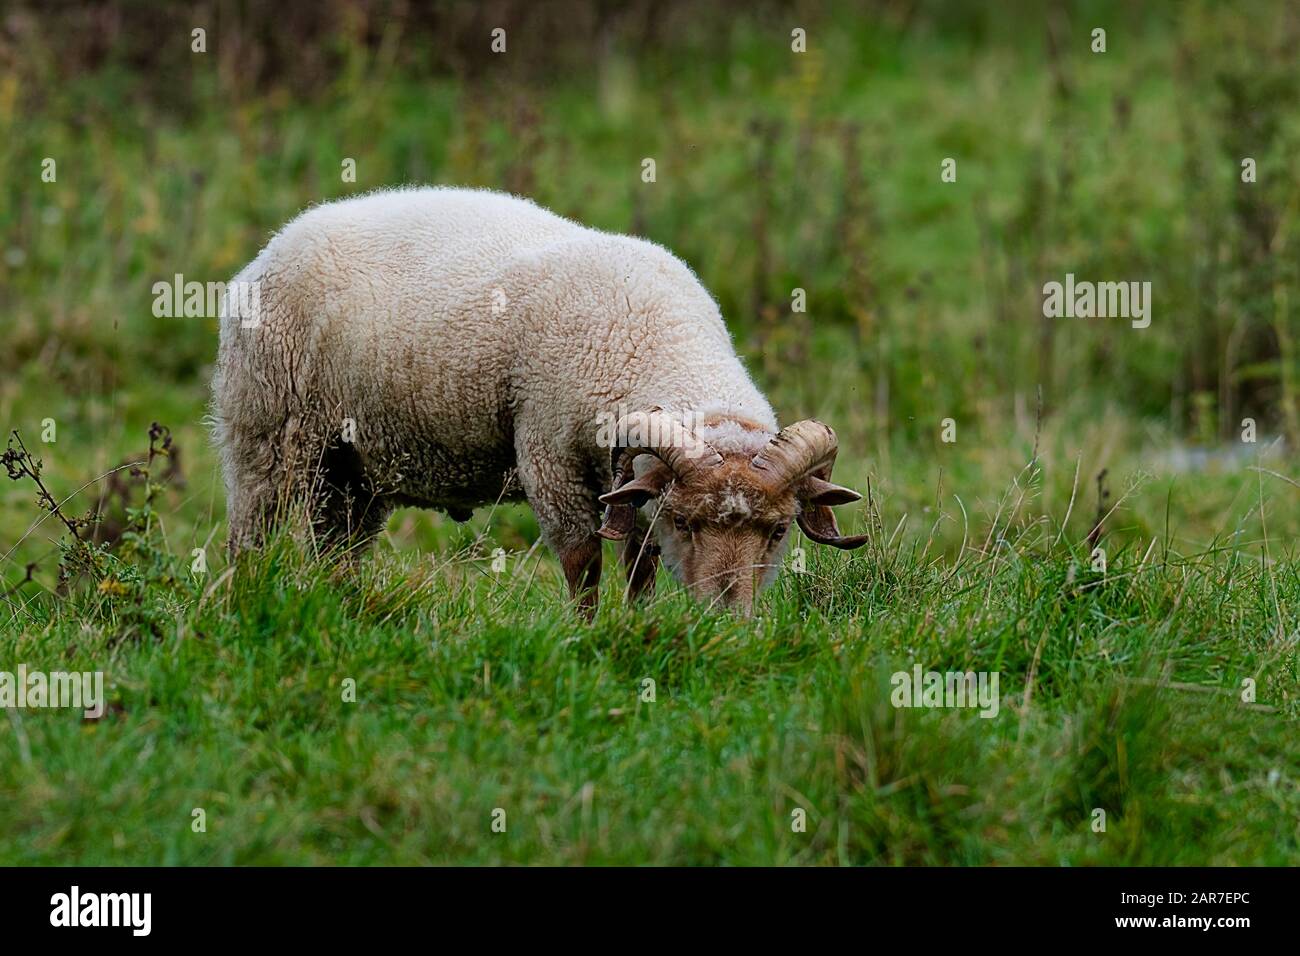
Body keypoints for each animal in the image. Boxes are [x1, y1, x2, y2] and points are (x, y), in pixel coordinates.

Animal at [211, 186, 867, 614]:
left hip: (351, 469)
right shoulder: (549, 457)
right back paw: (246, 604)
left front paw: (639, 626)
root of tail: (275, 243)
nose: (728, 620)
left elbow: (640, 567)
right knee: (249, 538)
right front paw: (589, 635)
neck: (657, 342)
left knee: (338, 552)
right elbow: (584, 564)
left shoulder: (626, 478)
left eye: (778, 532)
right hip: (266, 434)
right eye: (685, 520)